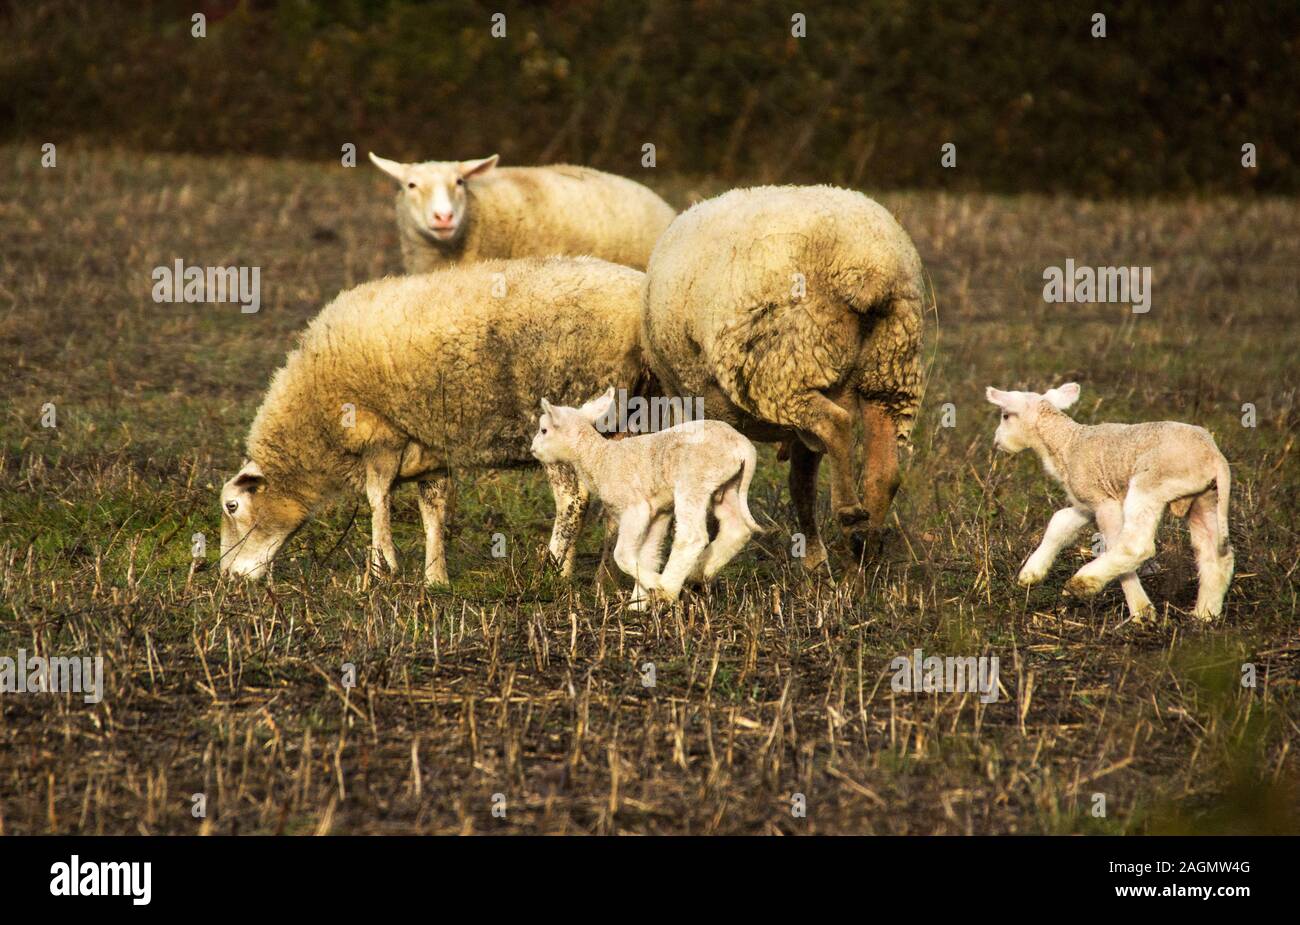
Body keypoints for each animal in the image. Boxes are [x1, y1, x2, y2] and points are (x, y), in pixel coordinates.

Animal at [219, 256, 645, 584]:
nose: (226, 576)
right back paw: (603, 578)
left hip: (566, 410)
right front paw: (435, 578)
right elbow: (433, 513)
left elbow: (377, 500)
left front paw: (381, 569)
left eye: (232, 507)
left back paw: (552, 571)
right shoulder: (429, 452)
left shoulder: (381, 434)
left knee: (572, 499)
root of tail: (637, 297)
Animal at [530, 388, 762, 610]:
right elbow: (647, 554)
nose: (533, 449)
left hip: (693, 482)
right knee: (736, 527)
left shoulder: (635, 508)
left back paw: (668, 588)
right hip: (728, 484)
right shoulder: (658, 513)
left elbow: (622, 555)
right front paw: (638, 604)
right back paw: (697, 573)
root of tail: (743, 446)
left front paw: (654, 586)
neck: (598, 459)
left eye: (544, 430)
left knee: (692, 536)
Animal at [641, 185, 926, 570]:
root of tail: (868, 267)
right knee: (883, 471)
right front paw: (814, 558)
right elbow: (800, 483)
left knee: (836, 423)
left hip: (784, 365)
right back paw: (862, 553)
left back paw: (850, 515)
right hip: (888, 367)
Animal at [985, 382, 1234, 621]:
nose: (996, 441)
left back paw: (1082, 584)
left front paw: (1142, 611)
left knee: (1137, 545)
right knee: (1215, 554)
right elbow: (1059, 523)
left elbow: (1112, 542)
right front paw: (1031, 573)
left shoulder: (1105, 501)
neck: (1067, 442)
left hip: (1149, 485)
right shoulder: (1086, 502)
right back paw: (1204, 614)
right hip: (1206, 498)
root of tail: (1214, 457)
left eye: (1005, 416)